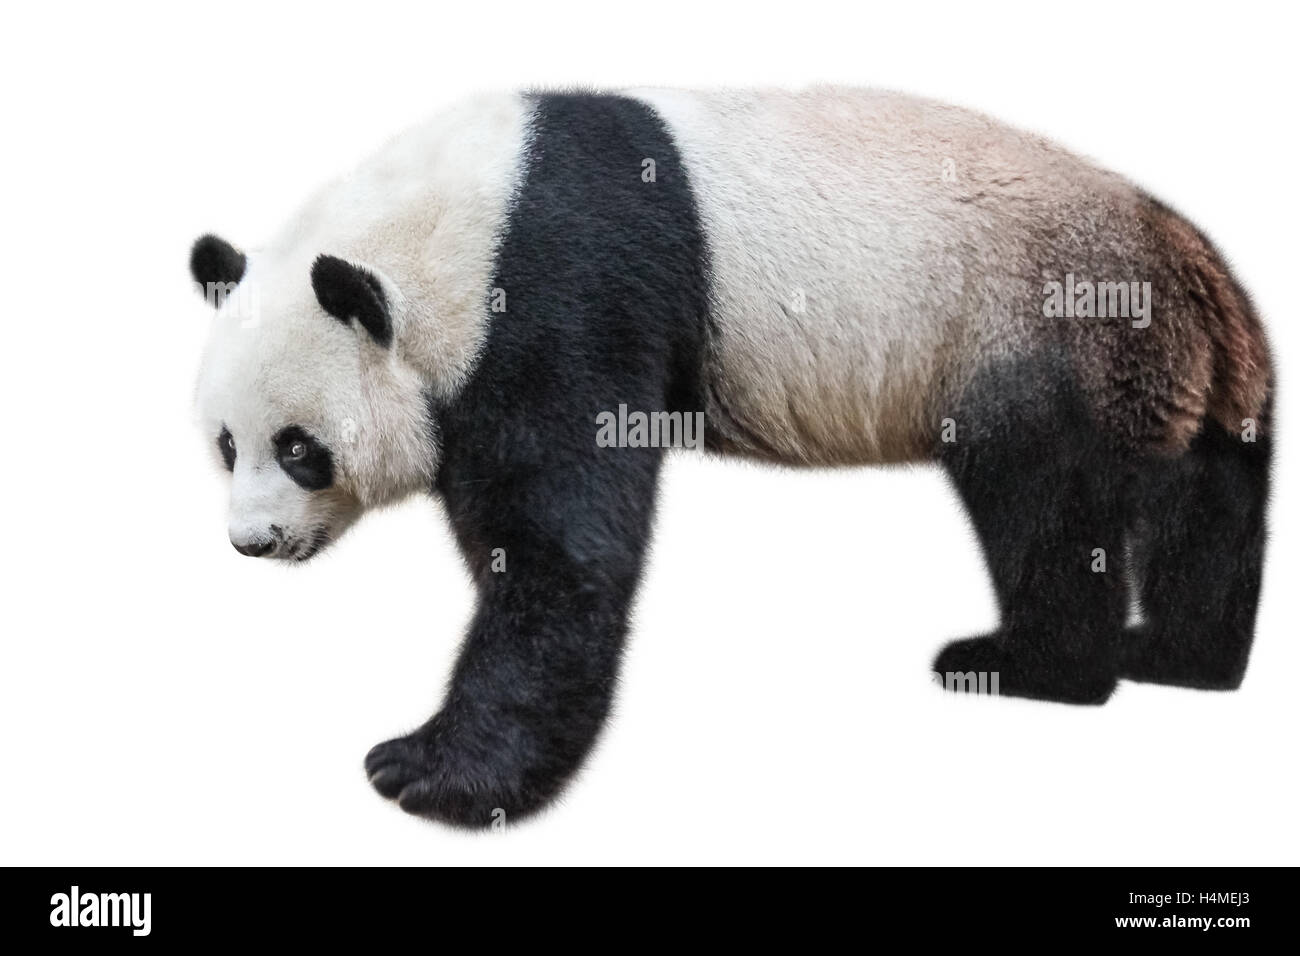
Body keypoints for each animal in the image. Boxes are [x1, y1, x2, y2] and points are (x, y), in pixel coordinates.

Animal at [191, 87, 1273, 827]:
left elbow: (561, 545)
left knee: (1047, 505)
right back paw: (1177, 658)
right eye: (224, 443)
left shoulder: (556, 290)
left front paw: (434, 772)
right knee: (1206, 509)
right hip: (1178, 375)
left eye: (301, 448)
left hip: (1042, 327)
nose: (252, 542)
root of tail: (1192, 265)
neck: (447, 227)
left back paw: (1024, 666)